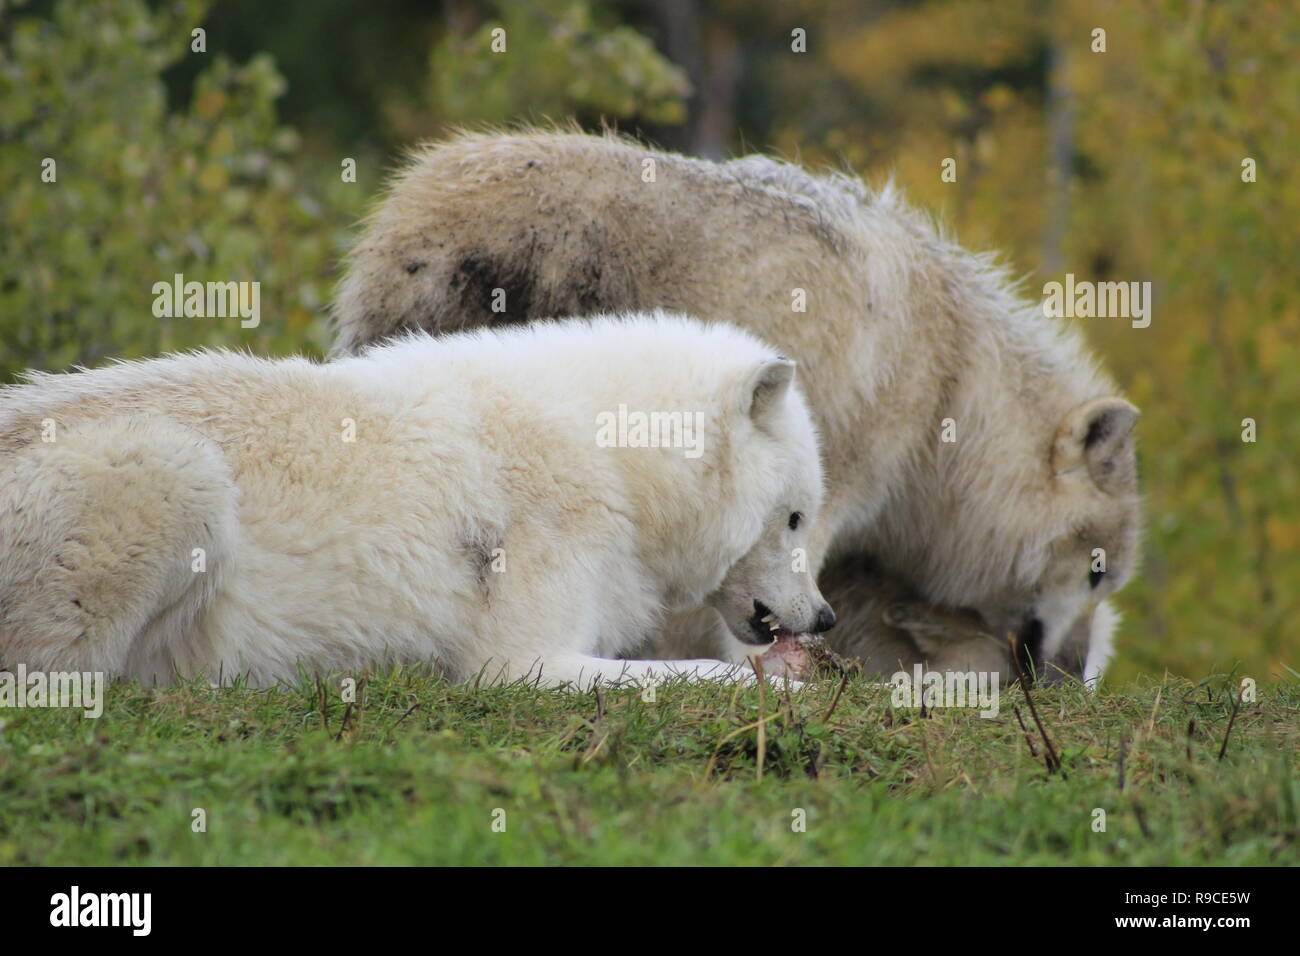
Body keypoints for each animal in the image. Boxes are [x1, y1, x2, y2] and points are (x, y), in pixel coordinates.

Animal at [0, 312, 833, 688]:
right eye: (795, 518)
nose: (825, 618)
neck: (620, 465)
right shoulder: (518, 660)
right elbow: (718, 673)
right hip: (182, 470)